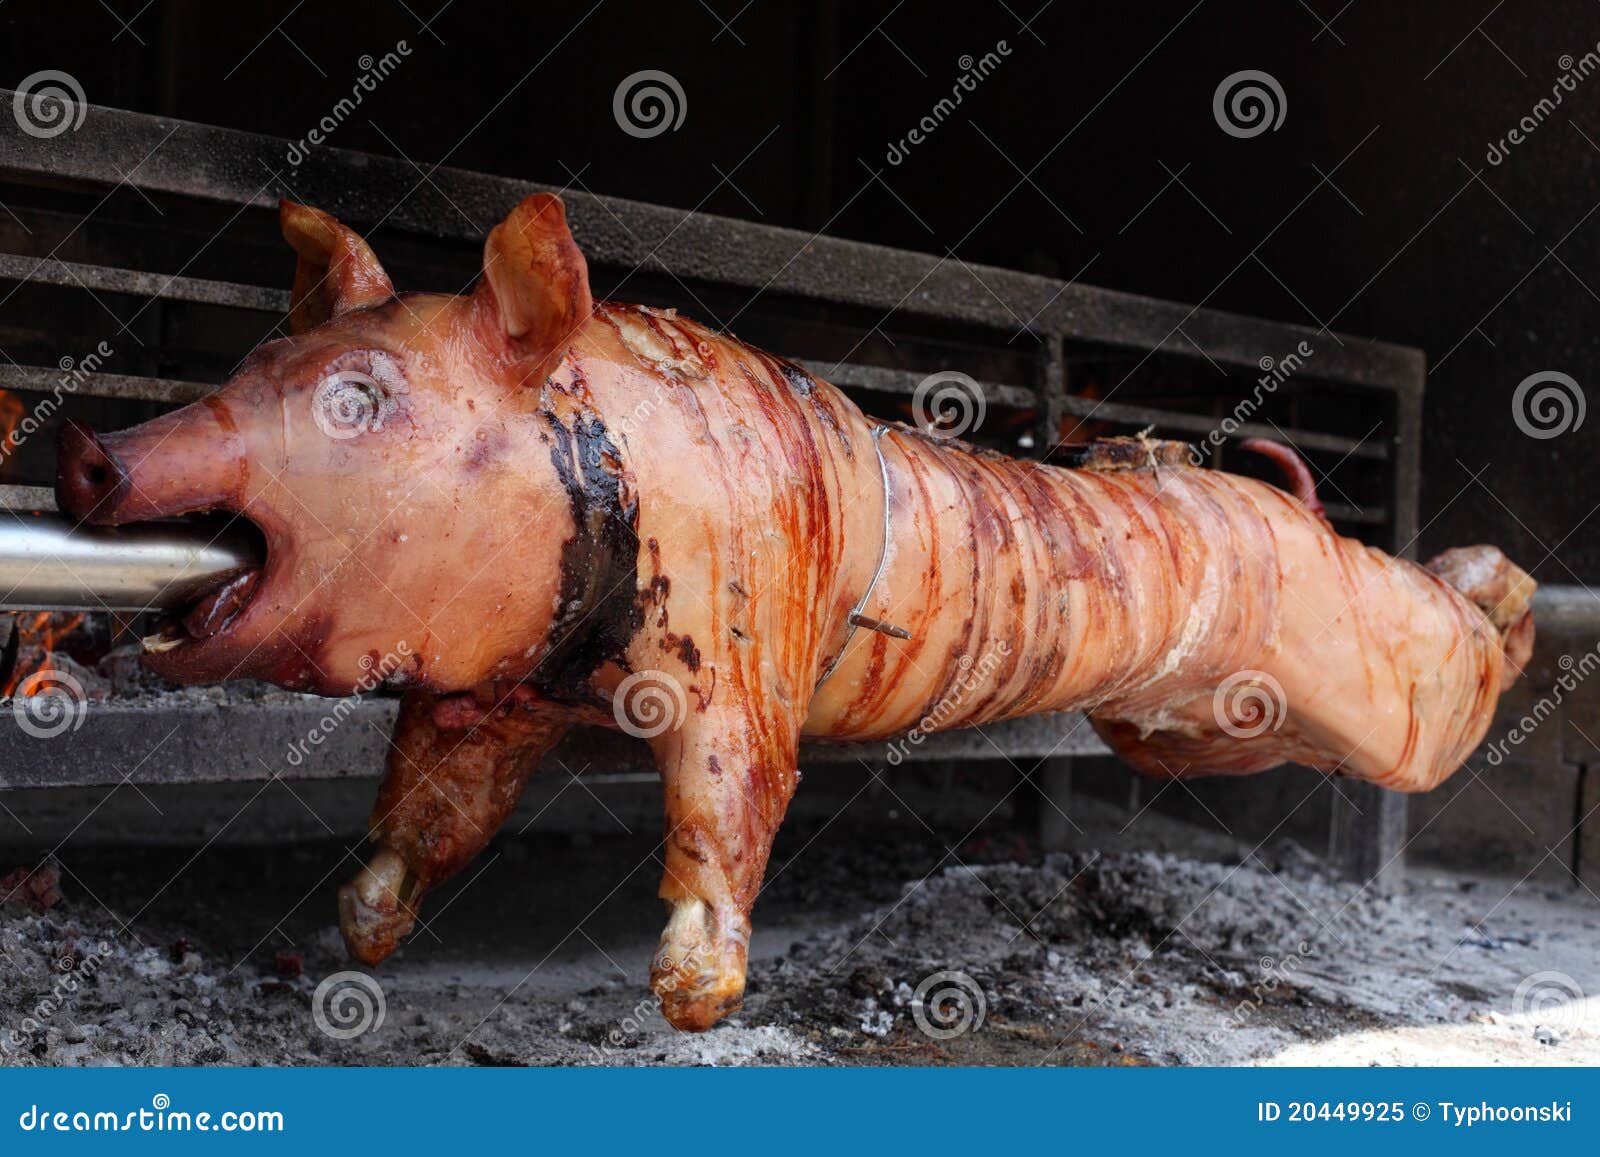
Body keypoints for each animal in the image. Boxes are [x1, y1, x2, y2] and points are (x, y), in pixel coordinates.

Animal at [55, 194, 1534, 1031]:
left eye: (359, 395)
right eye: (261, 357)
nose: (90, 458)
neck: (604, 454)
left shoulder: (742, 652)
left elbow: (731, 803)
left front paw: (693, 996)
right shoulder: (495, 689)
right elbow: (430, 806)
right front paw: (360, 925)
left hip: (1342, 642)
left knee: (1443, 672)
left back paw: (1510, 587)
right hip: (1203, 711)